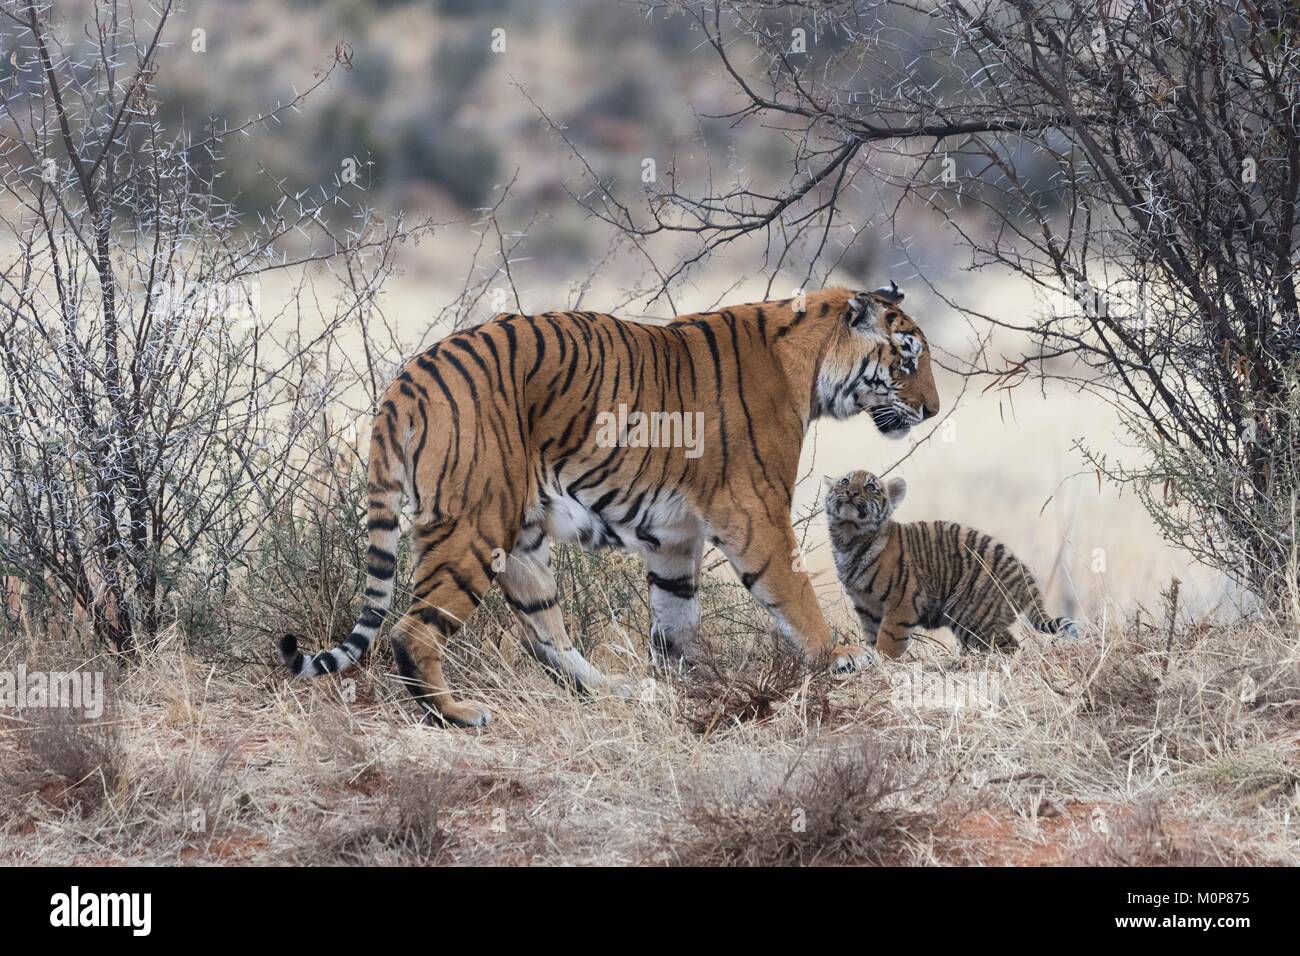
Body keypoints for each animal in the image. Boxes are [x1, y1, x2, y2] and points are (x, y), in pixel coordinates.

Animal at [279, 284, 939, 727]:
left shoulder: (674, 538)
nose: (932, 410)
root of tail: (410, 374)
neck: (808, 363)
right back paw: (457, 715)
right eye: (908, 357)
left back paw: (614, 691)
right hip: (474, 528)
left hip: (523, 541)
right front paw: (843, 657)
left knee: (545, 638)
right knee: (412, 631)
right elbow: (797, 594)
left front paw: (684, 685)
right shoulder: (756, 516)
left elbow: (675, 622)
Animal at [824, 469, 1079, 658]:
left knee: (1009, 646)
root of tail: (1022, 573)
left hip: (972, 615)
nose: (850, 492)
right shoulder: (866, 607)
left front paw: (881, 661)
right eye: (845, 481)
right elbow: (872, 634)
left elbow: (889, 639)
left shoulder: (902, 601)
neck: (848, 539)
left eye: (871, 487)